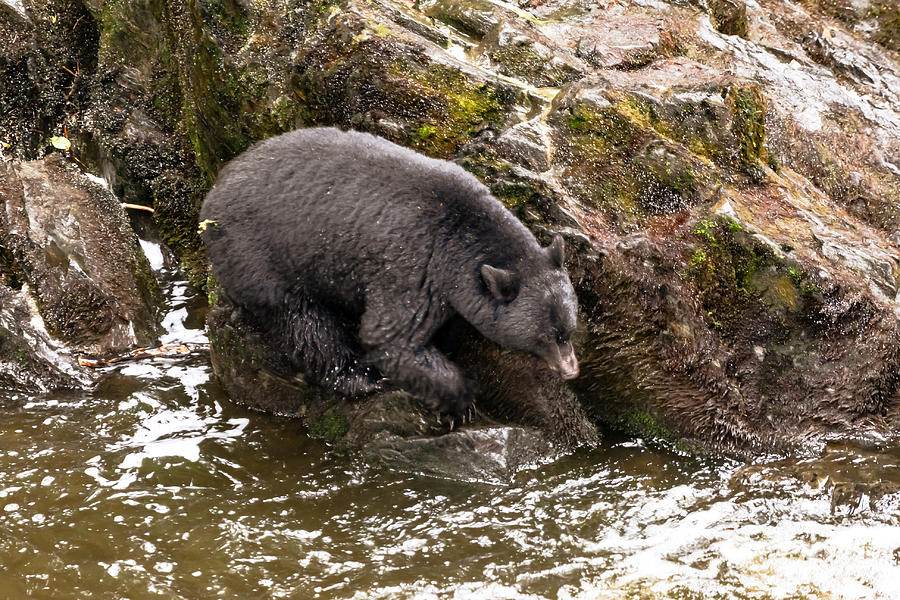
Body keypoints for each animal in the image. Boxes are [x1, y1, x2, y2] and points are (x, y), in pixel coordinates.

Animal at [200, 127, 579, 427]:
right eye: (548, 337)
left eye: (569, 330)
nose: (571, 370)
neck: (457, 236)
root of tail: (211, 197)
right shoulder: (411, 267)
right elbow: (391, 338)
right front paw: (461, 400)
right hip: (262, 259)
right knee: (306, 325)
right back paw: (360, 378)